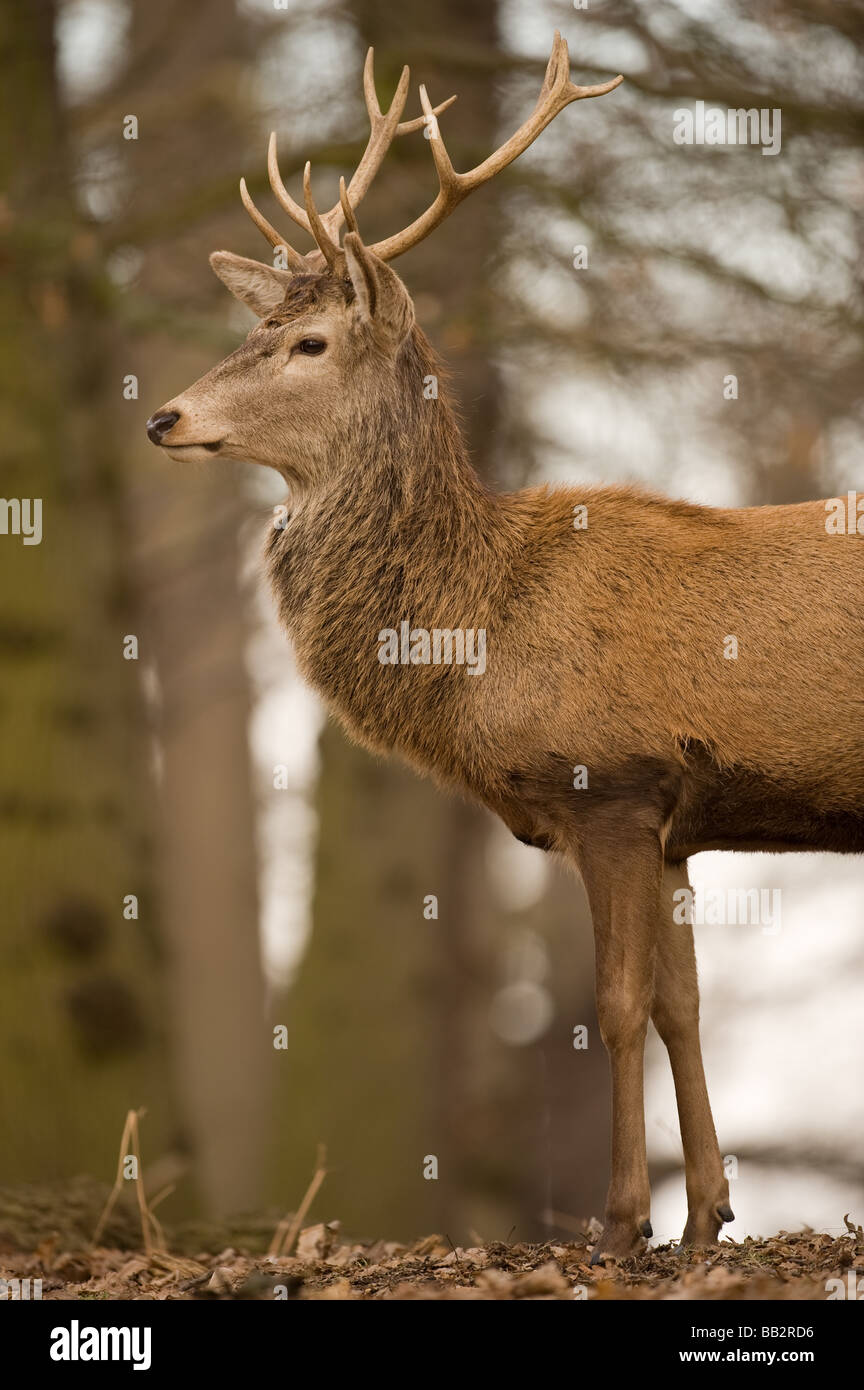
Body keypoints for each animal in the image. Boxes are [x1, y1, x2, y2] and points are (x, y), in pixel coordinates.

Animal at [145, 33, 864, 1263]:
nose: (163, 417)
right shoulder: (677, 823)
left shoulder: (612, 780)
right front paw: (706, 1217)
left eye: (309, 341)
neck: (479, 628)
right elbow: (681, 1006)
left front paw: (619, 1224)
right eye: (250, 330)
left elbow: (614, 1009)